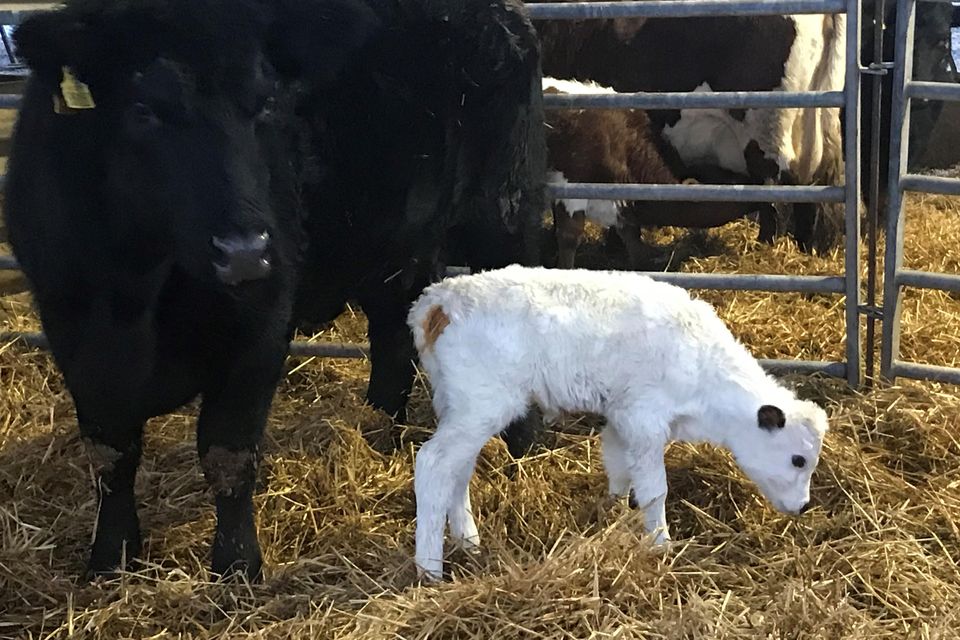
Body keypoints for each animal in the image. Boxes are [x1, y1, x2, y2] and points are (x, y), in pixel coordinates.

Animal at [5, 0, 545, 580]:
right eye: (144, 109)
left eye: (264, 105)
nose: (244, 250)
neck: (138, 291)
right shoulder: (73, 334)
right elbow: (110, 454)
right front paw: (110, 558)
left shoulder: (259, 328)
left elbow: (228, 453)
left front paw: (236, 567)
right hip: (395, 244)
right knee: (391, 333)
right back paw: (378, 433)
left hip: (504, 212)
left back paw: (522, 447)